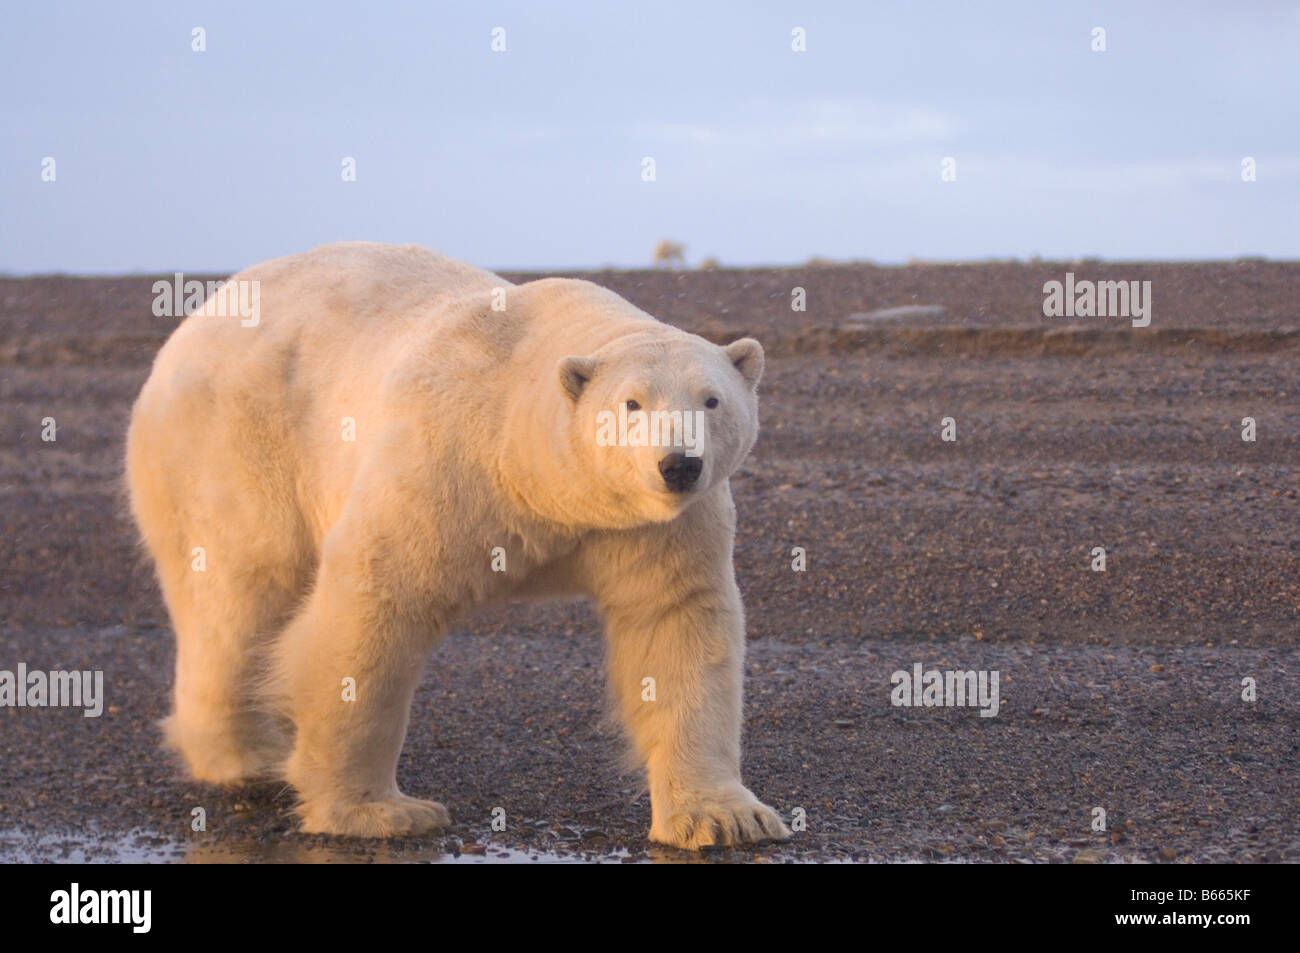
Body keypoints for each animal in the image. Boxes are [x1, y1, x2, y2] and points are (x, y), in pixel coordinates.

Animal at [125, 241, 789, 850]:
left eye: (712, 400)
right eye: (631, 404)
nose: (678, 464)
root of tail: (201, 315)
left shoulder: (650, 525)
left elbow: (676, 623)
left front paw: (724, 818)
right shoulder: (446, 462)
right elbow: (373, 603)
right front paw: (379, 812)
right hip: (234, 445)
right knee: (240, 594)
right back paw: (245, 758)